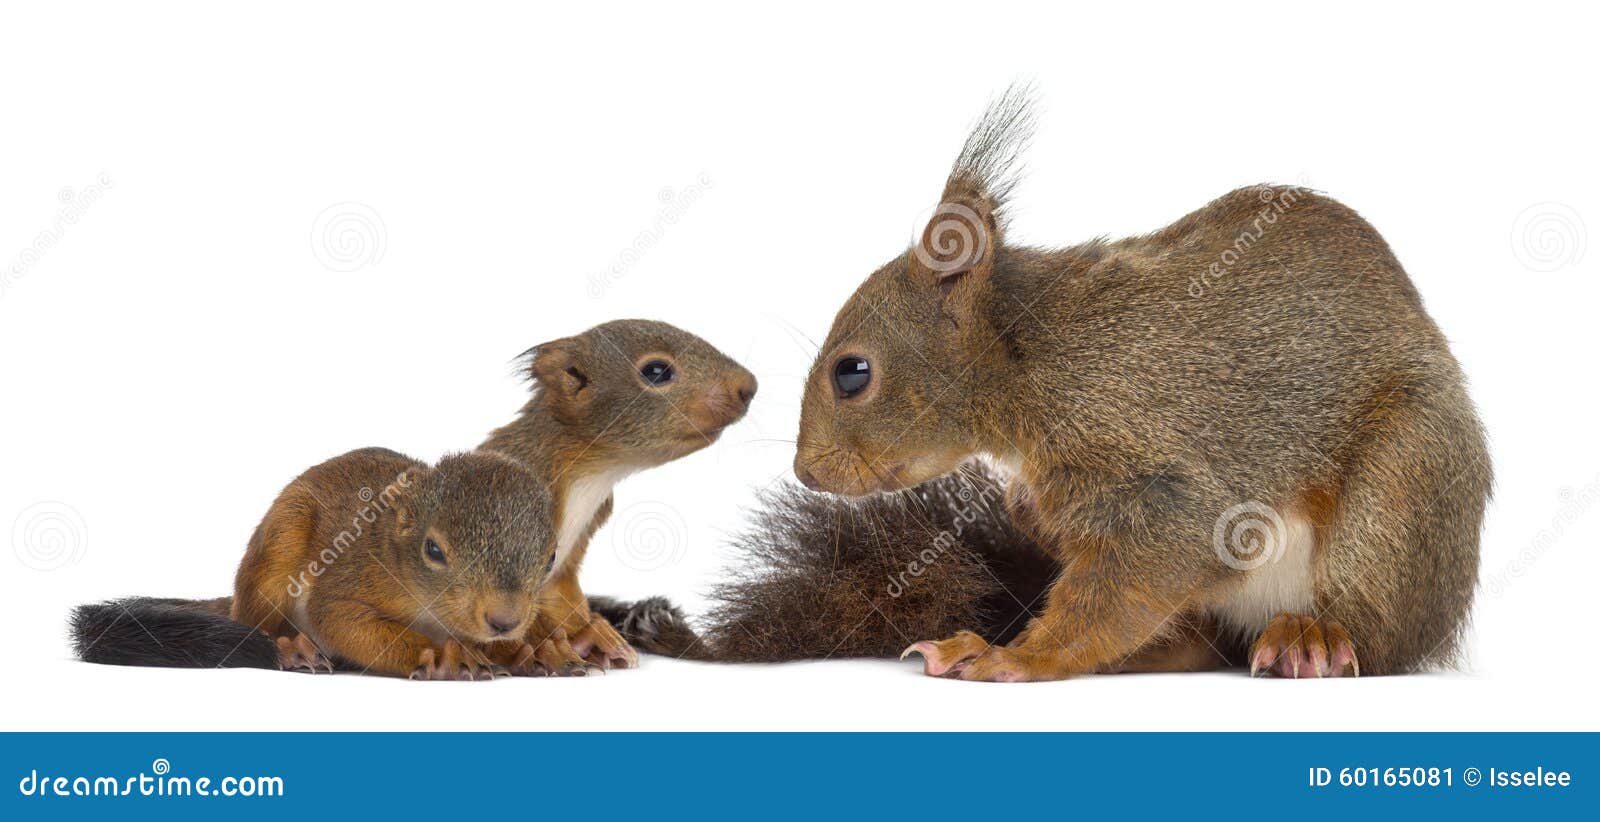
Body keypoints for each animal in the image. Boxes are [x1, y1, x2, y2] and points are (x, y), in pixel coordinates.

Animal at [71, 448, 564, 680]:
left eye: (551, 558)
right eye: (434, 551)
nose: (504, 620)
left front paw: (532, 650)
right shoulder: (354, 577)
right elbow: (341, 620)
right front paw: (442, 656)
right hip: (277, 554)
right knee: (258, 621)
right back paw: (292, 648)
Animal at [479, 319, 757, 670]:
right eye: (656, 371)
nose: (749, 386)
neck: (590, 473)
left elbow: (561, 596)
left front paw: (595, 635)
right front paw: (552, 649)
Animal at [601, 88, 1491, 680]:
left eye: (853, 373)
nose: (806, 472)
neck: (1037, 361)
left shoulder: (1165, 482)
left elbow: (1126, 581)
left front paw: (1016, 659)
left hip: (1404, 489)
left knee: (1380, 632)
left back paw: (1314, 638)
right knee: (1196, 640)